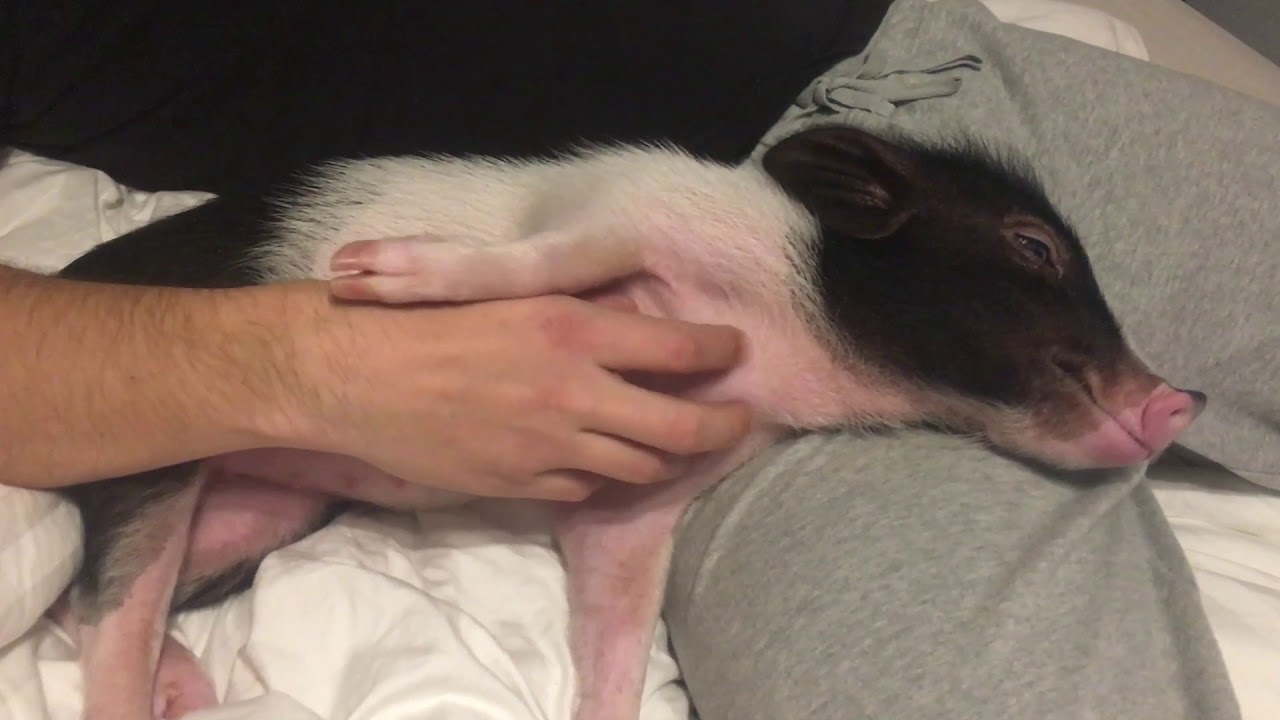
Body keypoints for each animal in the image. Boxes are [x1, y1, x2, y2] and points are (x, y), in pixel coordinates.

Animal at [50, 124, 1205, 720]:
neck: (783, 333)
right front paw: (377, 275)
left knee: (86, 604)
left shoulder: (637, 505)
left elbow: (614, 631)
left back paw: (185, 688)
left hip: (267, 508)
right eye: (1032, 247)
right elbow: (545, 261)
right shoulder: (619, 211)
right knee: (108, 617)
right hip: (159, 459)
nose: (1176, 400)